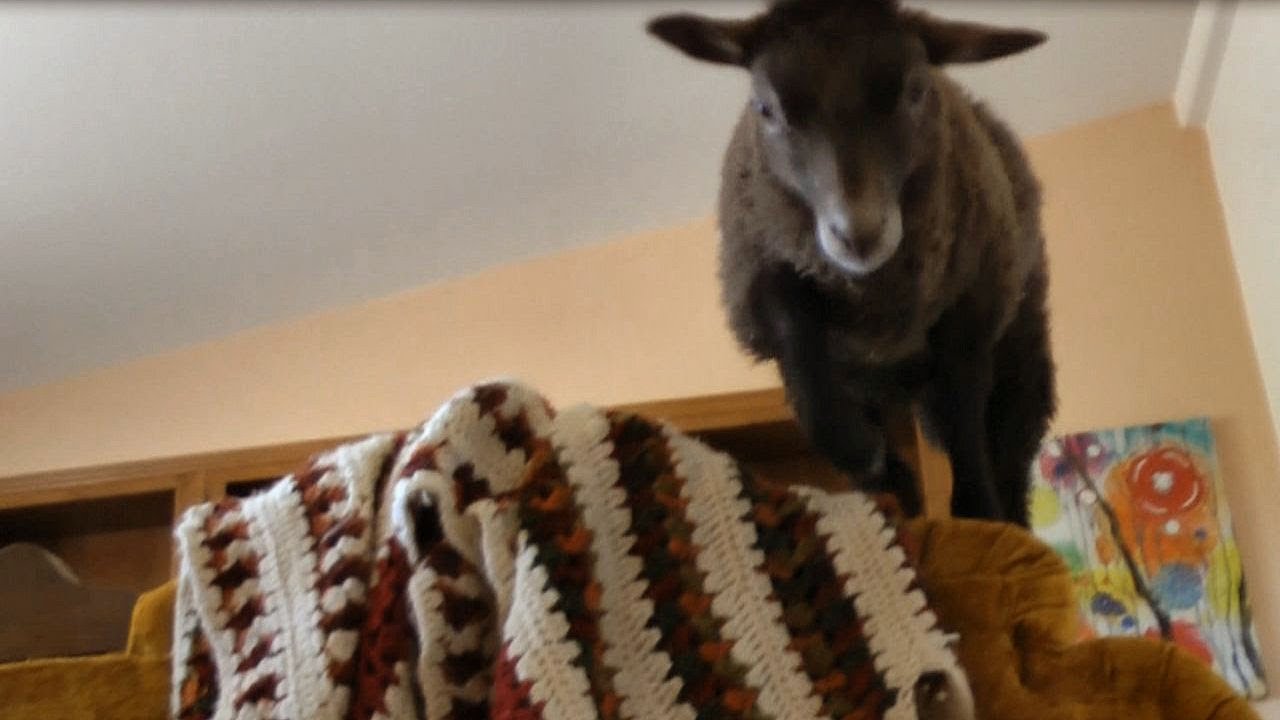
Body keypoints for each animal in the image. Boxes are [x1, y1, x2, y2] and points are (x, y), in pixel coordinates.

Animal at [648, 0, 1056, 524]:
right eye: (766, 108)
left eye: (916, 89)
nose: (858, 234)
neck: (872, 295)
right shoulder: (765, 275)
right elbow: (807, 372)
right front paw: (876, 465)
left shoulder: (976, 299)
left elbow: (964, 414)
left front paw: (977, 510)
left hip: (1019, 332)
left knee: (1010, 438)